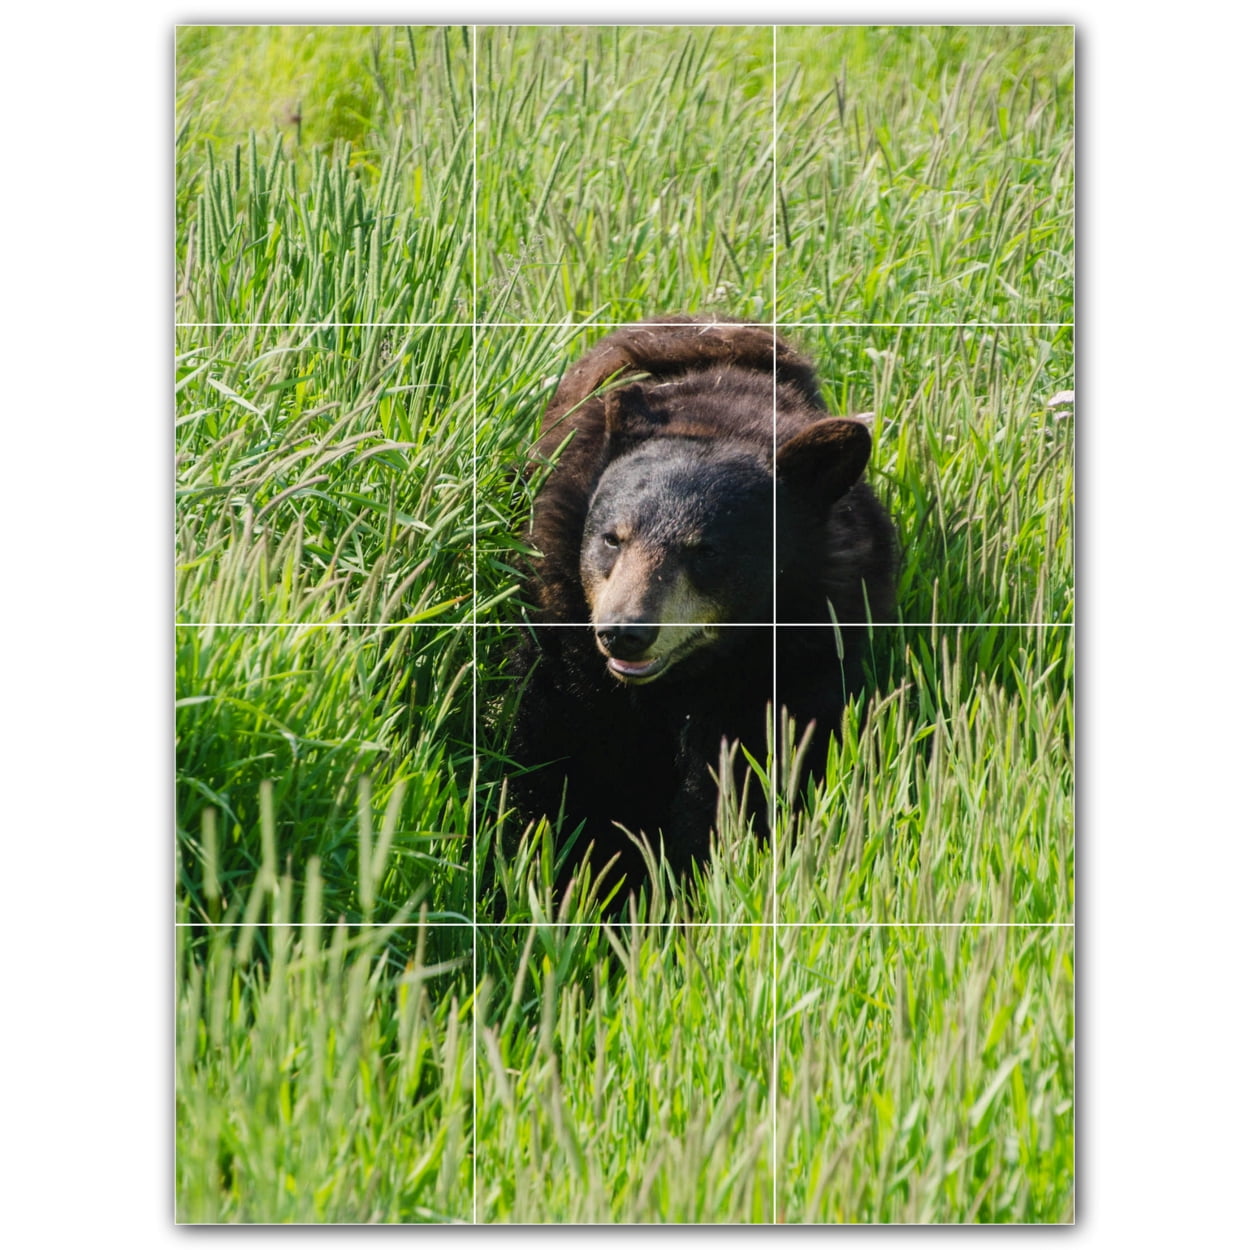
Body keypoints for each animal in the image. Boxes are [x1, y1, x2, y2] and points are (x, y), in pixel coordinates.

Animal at [507, 316, 896, 896]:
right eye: (612, 538)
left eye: (706, 551)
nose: (625, 632)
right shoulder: (567, 637)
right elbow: (567, 754)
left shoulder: (798, 652)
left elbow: (748, 770)